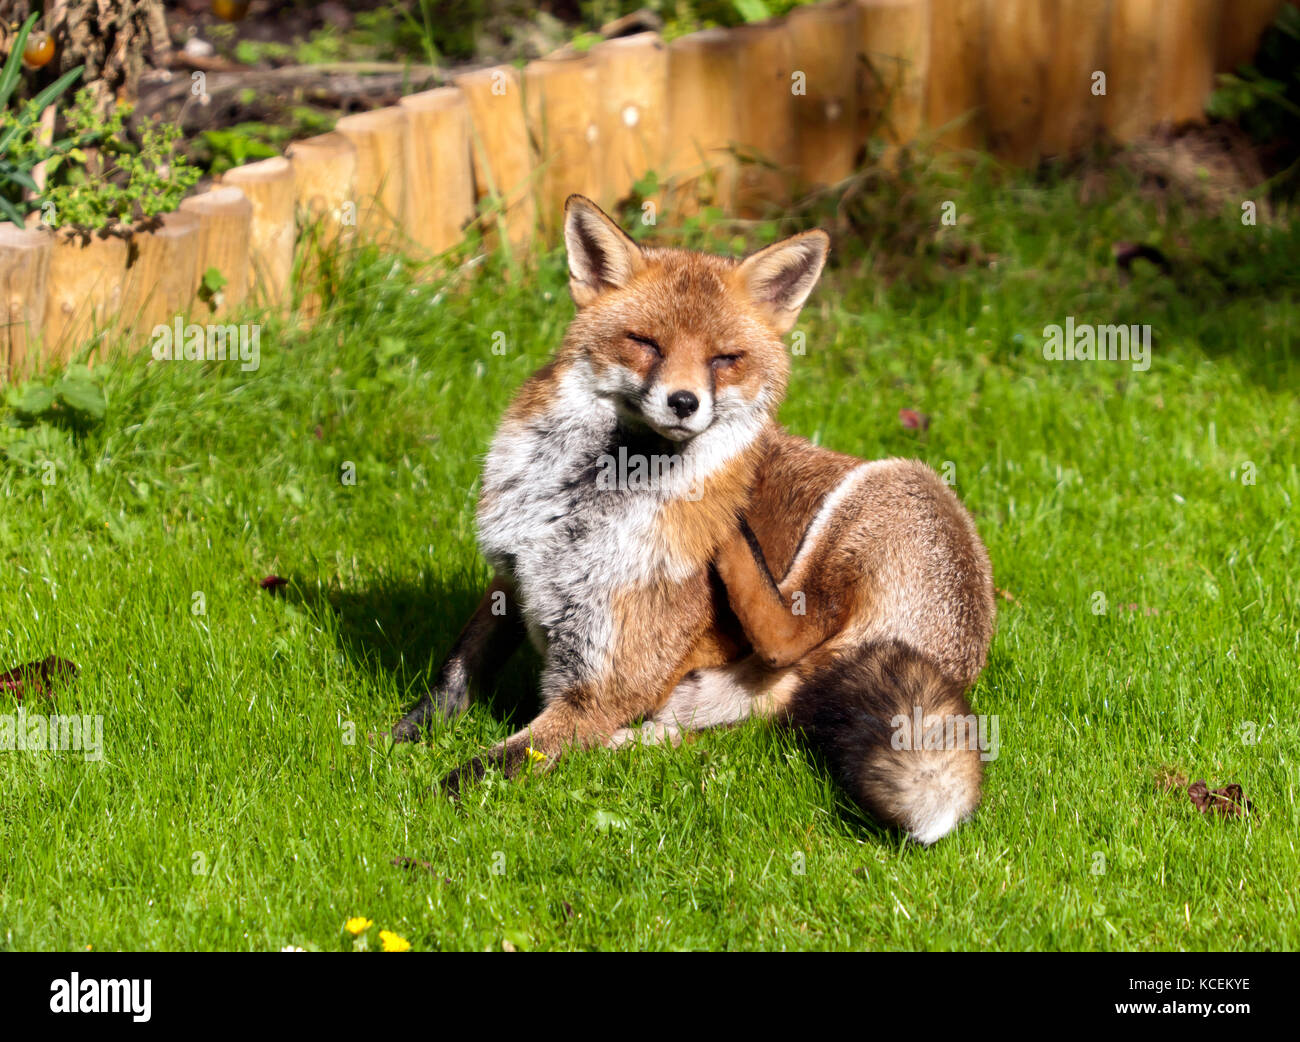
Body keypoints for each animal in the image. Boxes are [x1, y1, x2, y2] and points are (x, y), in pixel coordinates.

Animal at [392, 195, 995, 844]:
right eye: (645, 343)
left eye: (724, 359)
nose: (684, 402)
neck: (578, 502)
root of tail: (958, 661)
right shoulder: (514, 575)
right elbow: (458, 669)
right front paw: (399, 736)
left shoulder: (602, 687)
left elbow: (490, 765)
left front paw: (418, 797)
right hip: (717, 701)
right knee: (681, 736)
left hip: (883, 493)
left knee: (786, 635)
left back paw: (733, 539)